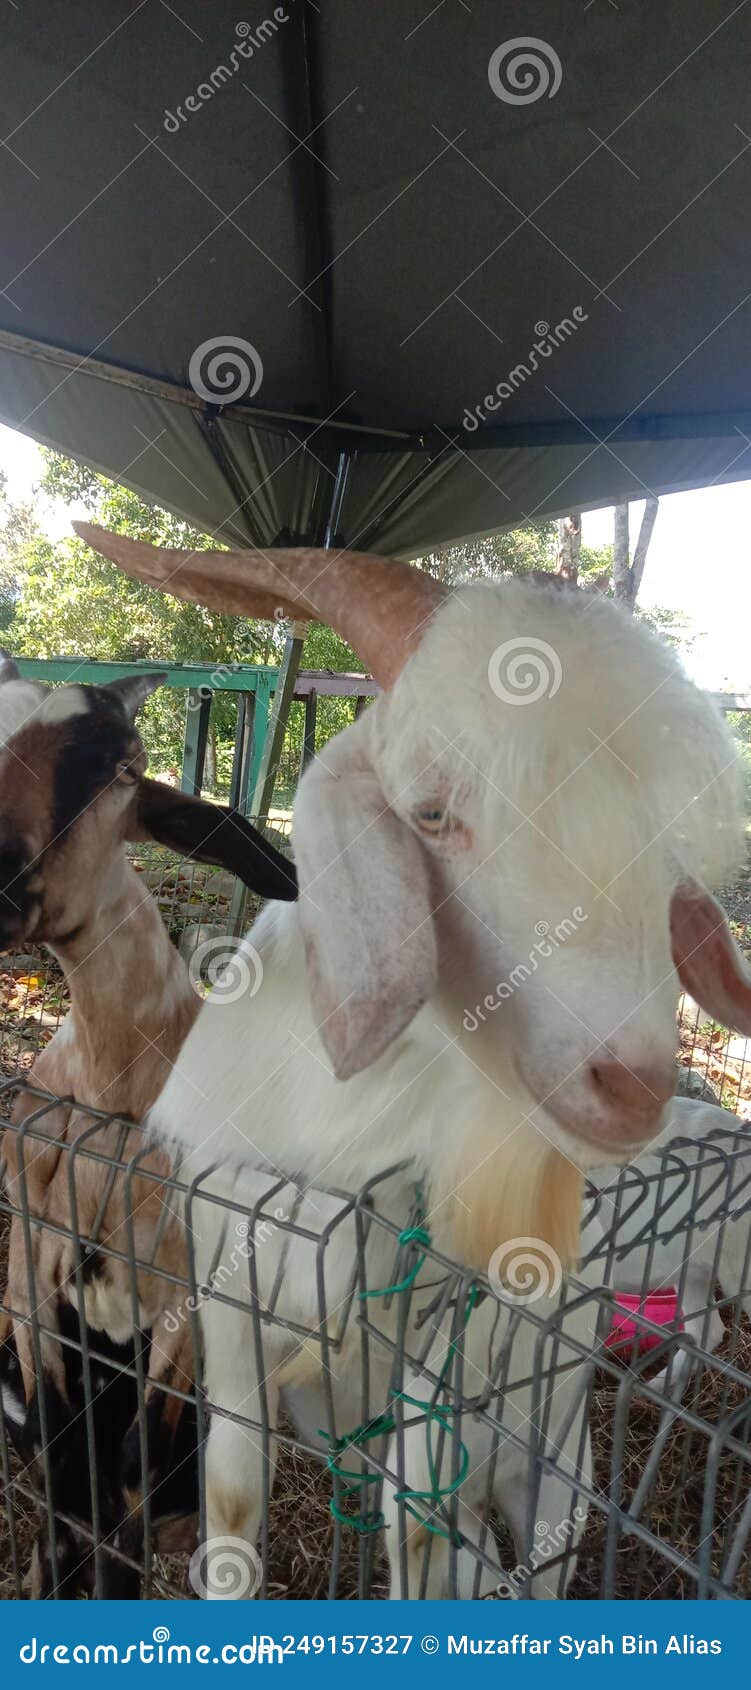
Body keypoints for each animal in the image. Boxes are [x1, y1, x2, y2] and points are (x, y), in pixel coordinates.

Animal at [0, 656, 296, 1595]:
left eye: (113, 766)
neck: (115, 1092)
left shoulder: (185, 1296)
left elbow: (130, 1467)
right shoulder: (31, 1268)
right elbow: (61, 1458)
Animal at [75, 525, 751, 1599]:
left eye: (662, 847)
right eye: (430, 813)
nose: (632, 1087)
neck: (346, 1144)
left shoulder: (446, 1343)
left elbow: (418, 1533)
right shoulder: (229, 1295)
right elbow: (232, 1500)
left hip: (551, 1447)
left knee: (534, 1555)